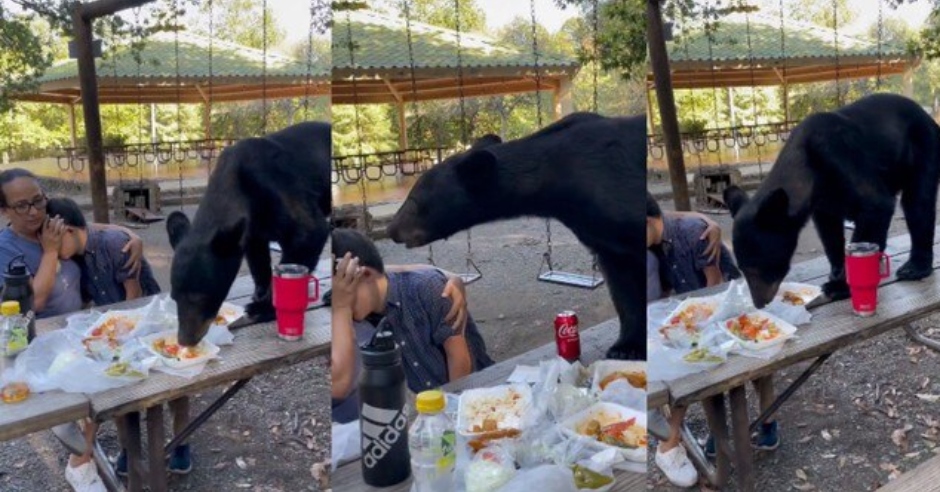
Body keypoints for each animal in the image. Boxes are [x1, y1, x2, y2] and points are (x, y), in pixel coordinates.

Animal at [167, 121, 332, 346]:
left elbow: (310, 232)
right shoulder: (253, 230)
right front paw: (259, 294)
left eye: (200, 297)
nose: (185, 340)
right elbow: (257, 257)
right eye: (174, 297)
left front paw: (263, 307)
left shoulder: (280, 188)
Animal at [724, 93, 940, 308]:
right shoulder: (824, 204)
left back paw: (915, 267)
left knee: (917, 204)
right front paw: (836, 274)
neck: (809, 170)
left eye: (758, 267)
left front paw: (840, 285)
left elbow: (876, 205)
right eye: (742, 268)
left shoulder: (841, 157)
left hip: (924, 147)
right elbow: (830, 234)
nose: (759, 303)